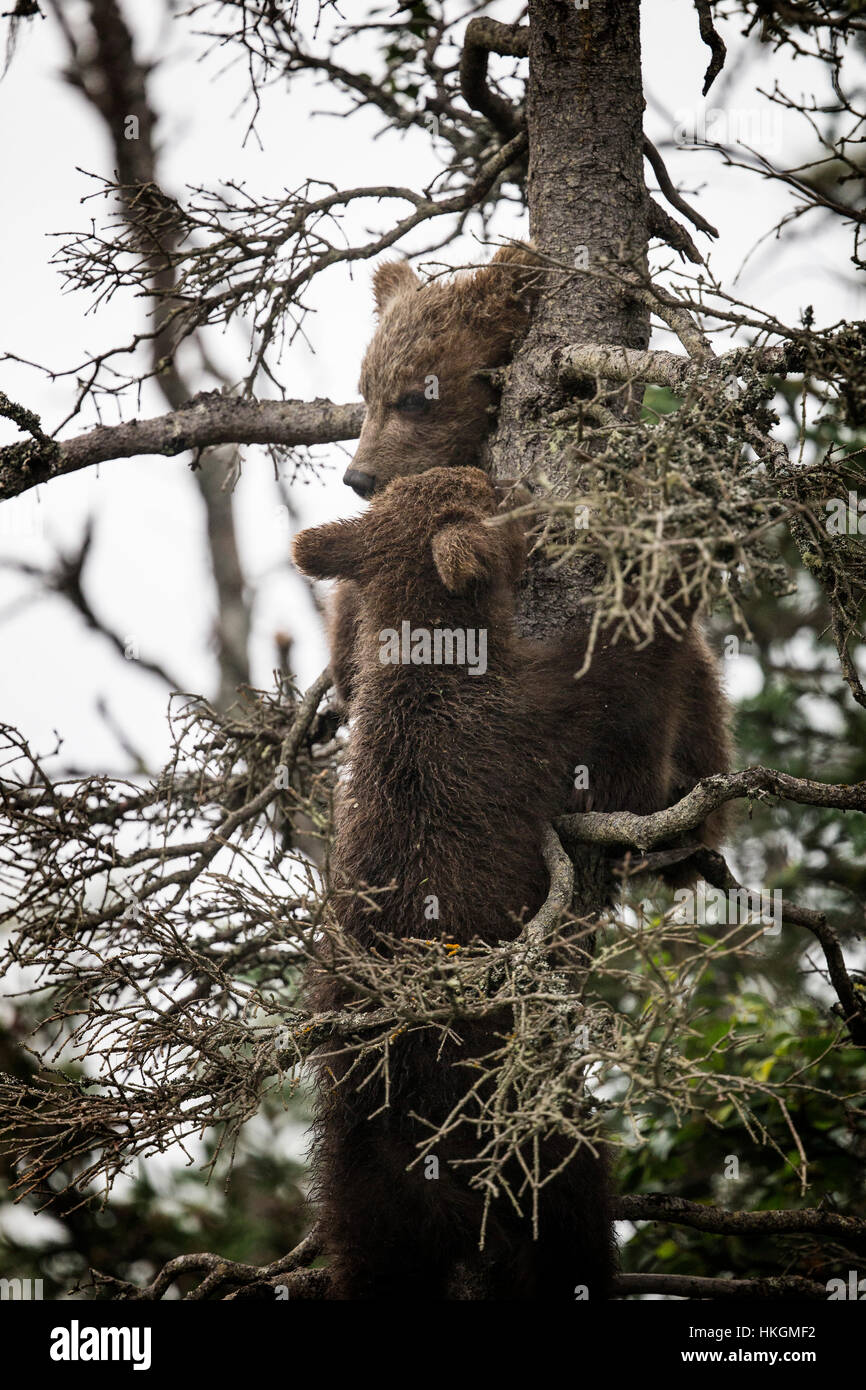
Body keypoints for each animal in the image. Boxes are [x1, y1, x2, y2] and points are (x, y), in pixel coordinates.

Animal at [293, 466, 616, 1301]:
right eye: (493, 494)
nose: (523, 481)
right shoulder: (521, 732)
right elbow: (606, 711)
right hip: (511, 1113)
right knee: (568, 1204)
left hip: (358, 1183)